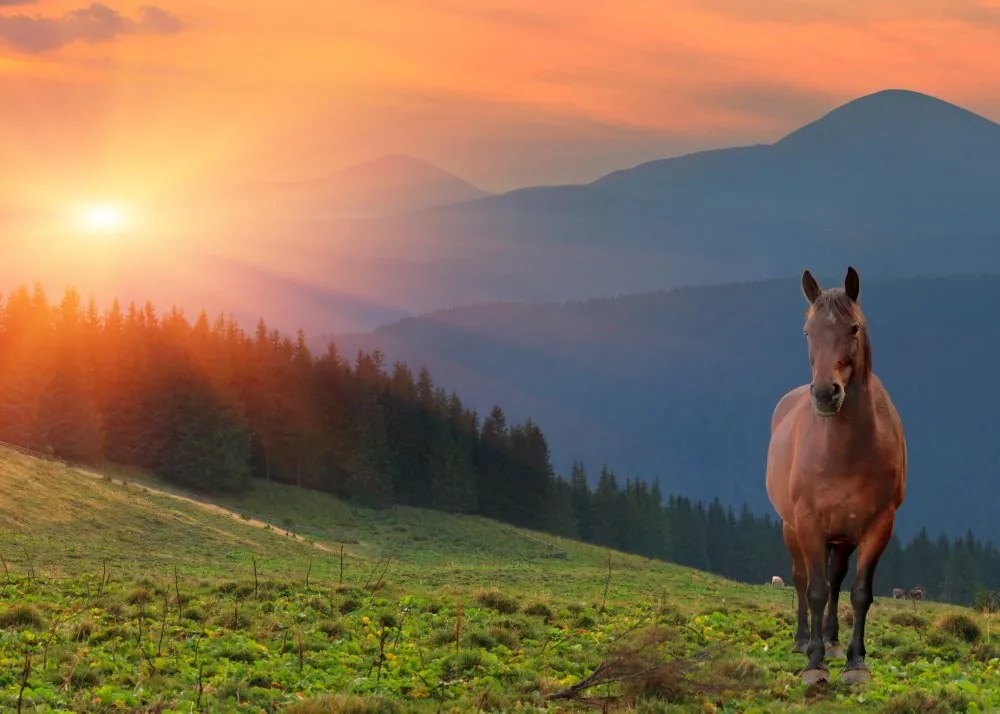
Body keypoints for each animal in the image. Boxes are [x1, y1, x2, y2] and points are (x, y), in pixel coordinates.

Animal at [764, 268, 908, 684]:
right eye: (807, 331)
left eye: (854, 328)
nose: (826, 394)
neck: (844, 450)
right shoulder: (808, 522)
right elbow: (813, 589)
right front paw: (814, 663)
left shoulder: (879, 525)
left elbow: (858, 593)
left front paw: (855, 661)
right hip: (791, 528)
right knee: (802, 578)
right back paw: (803, 641)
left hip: (843, 537)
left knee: (836, 580)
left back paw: (830, 640)